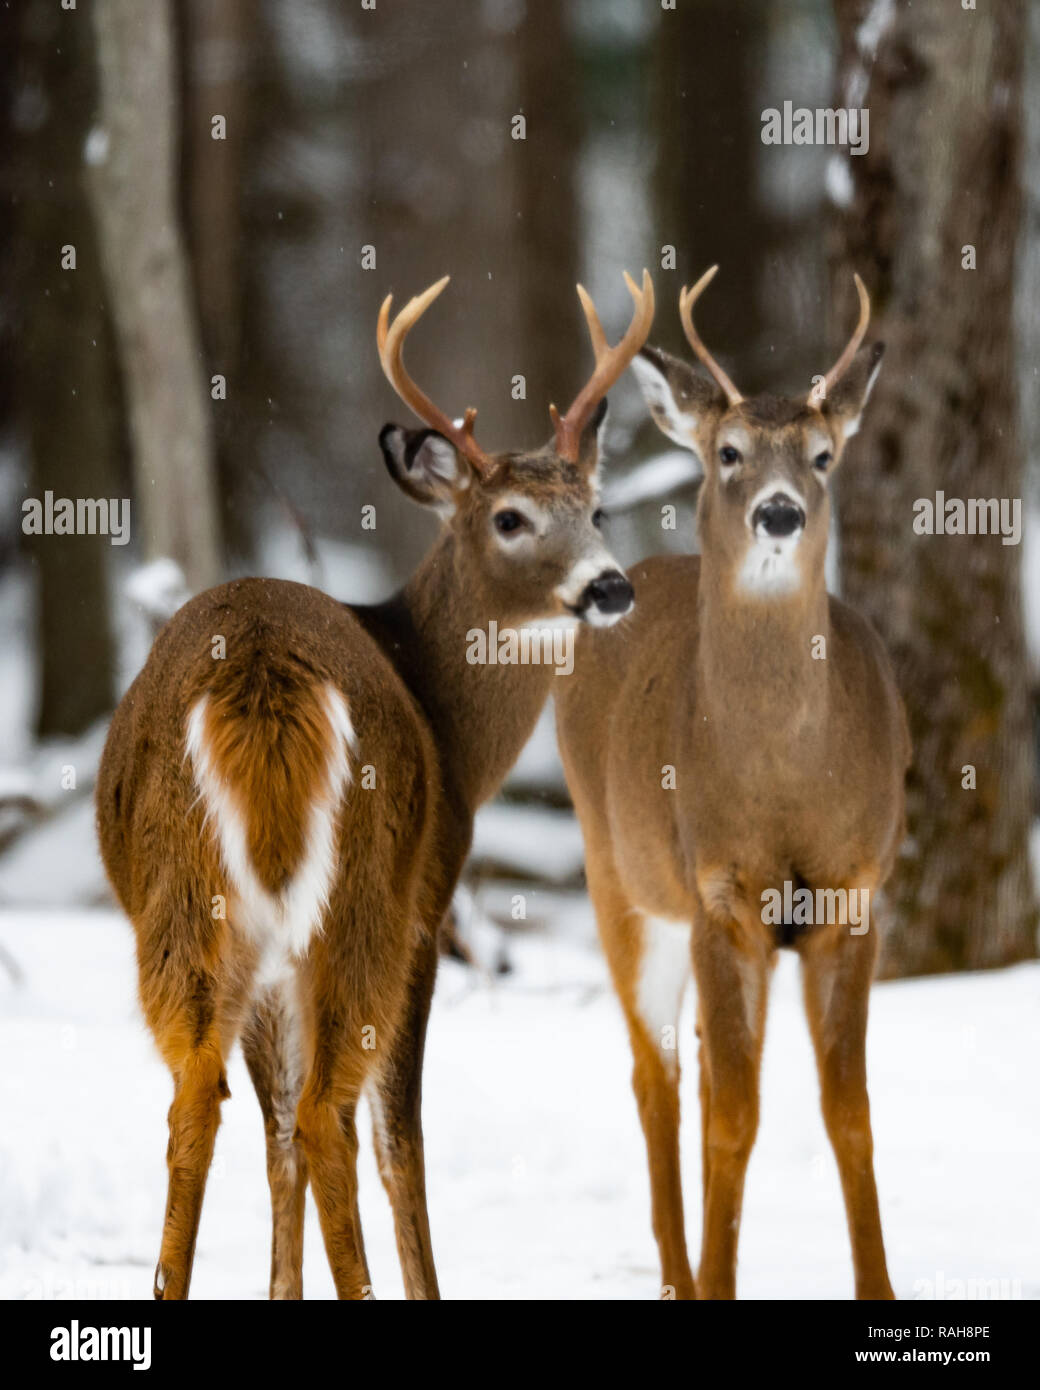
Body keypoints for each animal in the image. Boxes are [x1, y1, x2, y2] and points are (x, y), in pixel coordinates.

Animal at [95, 273, 650, 1301]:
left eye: (597, 510)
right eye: (509, 518)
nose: (609, 588)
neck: (448, 718)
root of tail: (261, 675)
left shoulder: (274, 958)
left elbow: (275, 1138)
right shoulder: (431, 902)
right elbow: (395, 1137)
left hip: (186, 902)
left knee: (203, 1098)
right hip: (366, 895)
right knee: (330, 1114)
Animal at [556, 265, 906, 1295]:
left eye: (825, 456)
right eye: (729, 453)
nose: (779, 512)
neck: (785, 777)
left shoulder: (854, 891)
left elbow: (848, 1115)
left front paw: (881, 1288)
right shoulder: (719, 889)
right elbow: (733, 1120)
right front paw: (715, 1281)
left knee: (703, 1071)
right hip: (620, 880)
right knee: (659, 1079)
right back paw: (680, 1273)